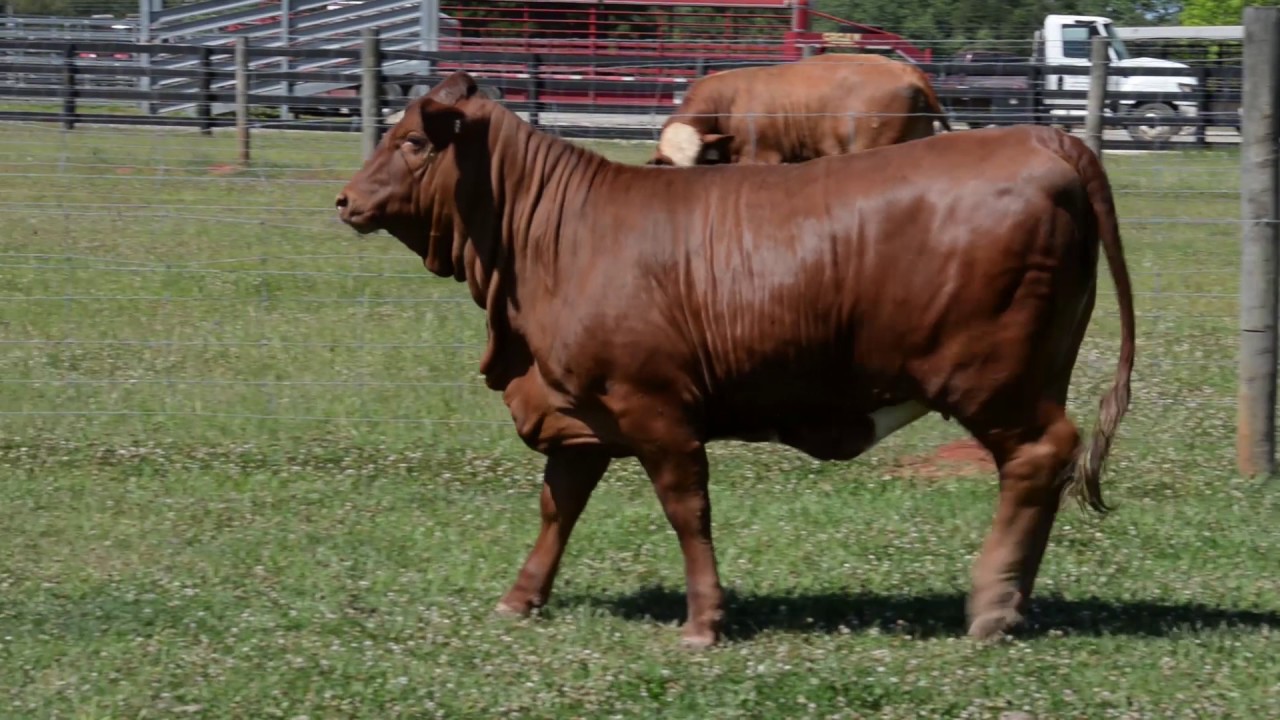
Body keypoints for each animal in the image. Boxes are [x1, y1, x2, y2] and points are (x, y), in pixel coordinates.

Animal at [335, 71, 1136, 649]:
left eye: (414, 141)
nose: (345, 200)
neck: (549, 242)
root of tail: (1045, 139)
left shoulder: (654, 407)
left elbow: (686, 509)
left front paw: (702, 622)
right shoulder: (580, 410)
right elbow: (558, 505)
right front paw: (521, 598)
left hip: (990, 380)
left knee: (1039, 454)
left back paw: (992, 605)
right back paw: (1013, 600)